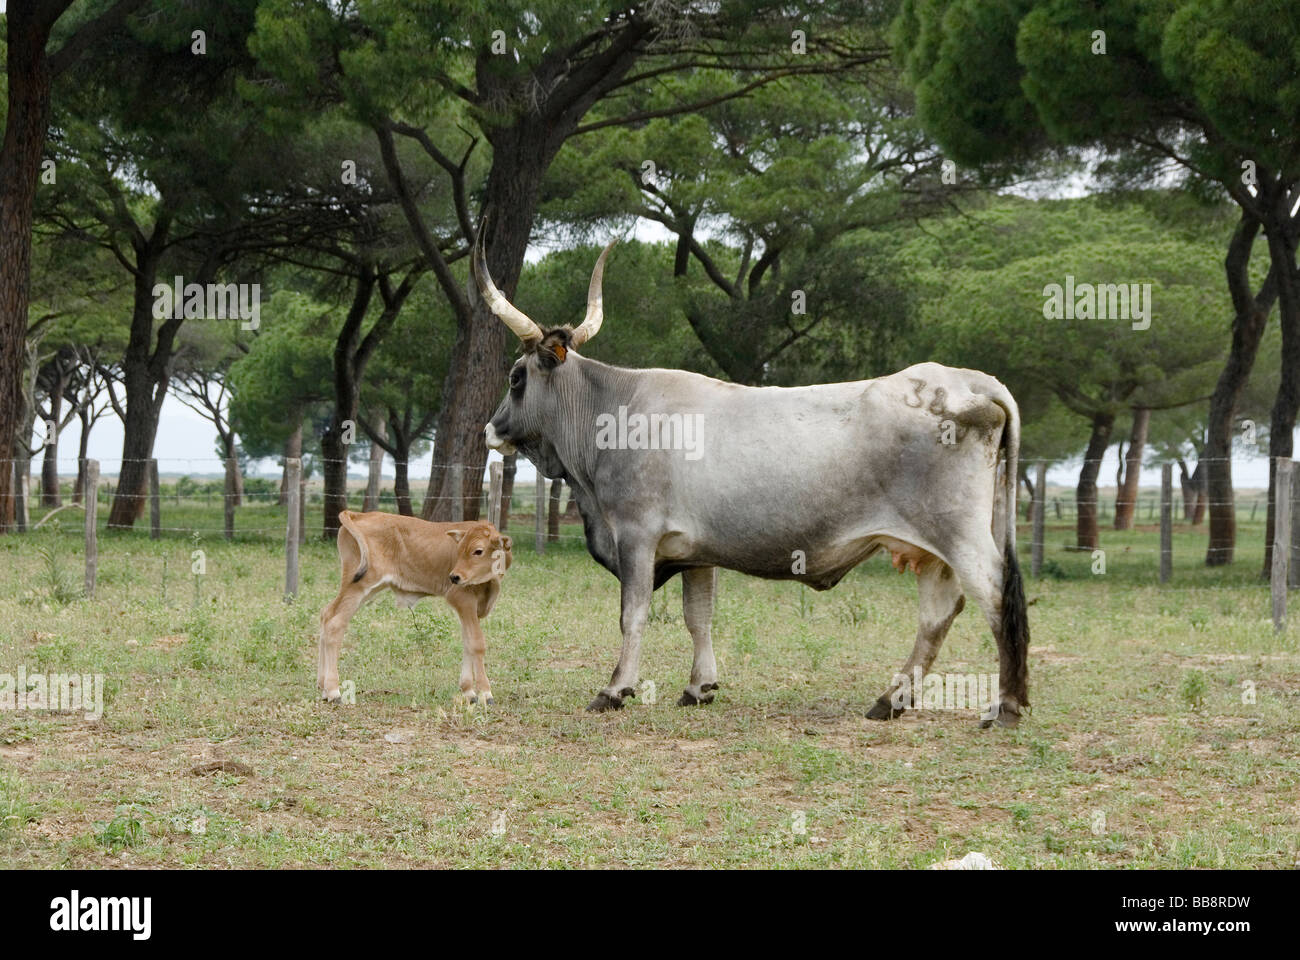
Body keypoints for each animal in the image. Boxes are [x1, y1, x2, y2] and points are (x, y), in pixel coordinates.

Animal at [318, 511, 513, 706]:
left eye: (478, 551)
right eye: (459, 550)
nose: (454, 577)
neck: (490, 583)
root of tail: (359, 514)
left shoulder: (470, 609)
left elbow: (467, 642)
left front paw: (468, 691)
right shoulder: (462, 599)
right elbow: (477, 643)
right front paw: (485, 693)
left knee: (326, 613)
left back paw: (323, 686)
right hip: (359, 585)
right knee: (335, 623)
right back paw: (333, 690)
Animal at [473, 235, 1029, 727]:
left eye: (515, 377)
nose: (490, 430)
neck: (613, 409)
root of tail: (966, 379)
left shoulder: (636, 536)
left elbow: (634, 613)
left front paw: (615, 690)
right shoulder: (694, 552)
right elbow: (698, 615)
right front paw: (699, 687)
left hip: (959, 534)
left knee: (994, 596)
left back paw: (1006, 706)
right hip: (931, 549)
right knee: (939, 611)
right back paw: (890, 701)